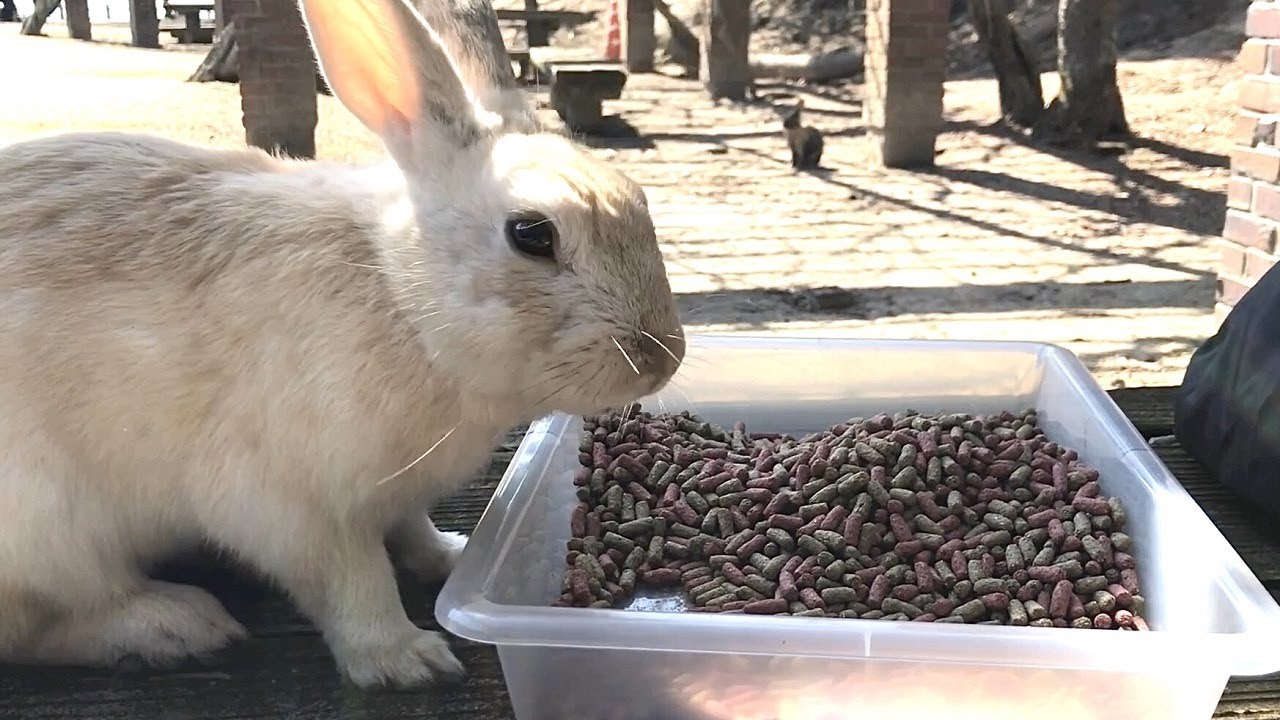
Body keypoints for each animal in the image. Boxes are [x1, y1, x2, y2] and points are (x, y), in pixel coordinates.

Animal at [0, 0, 684, 691]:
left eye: (641, 199)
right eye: (532, 234)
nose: (663, 358)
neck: (402, 300)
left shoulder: (396, 495)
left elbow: (411, 532)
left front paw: (453, 553)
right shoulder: (297, 507)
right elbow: (353, 583)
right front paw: (407, 658)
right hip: (49, 528)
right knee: (46, 623)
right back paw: (177, 624)